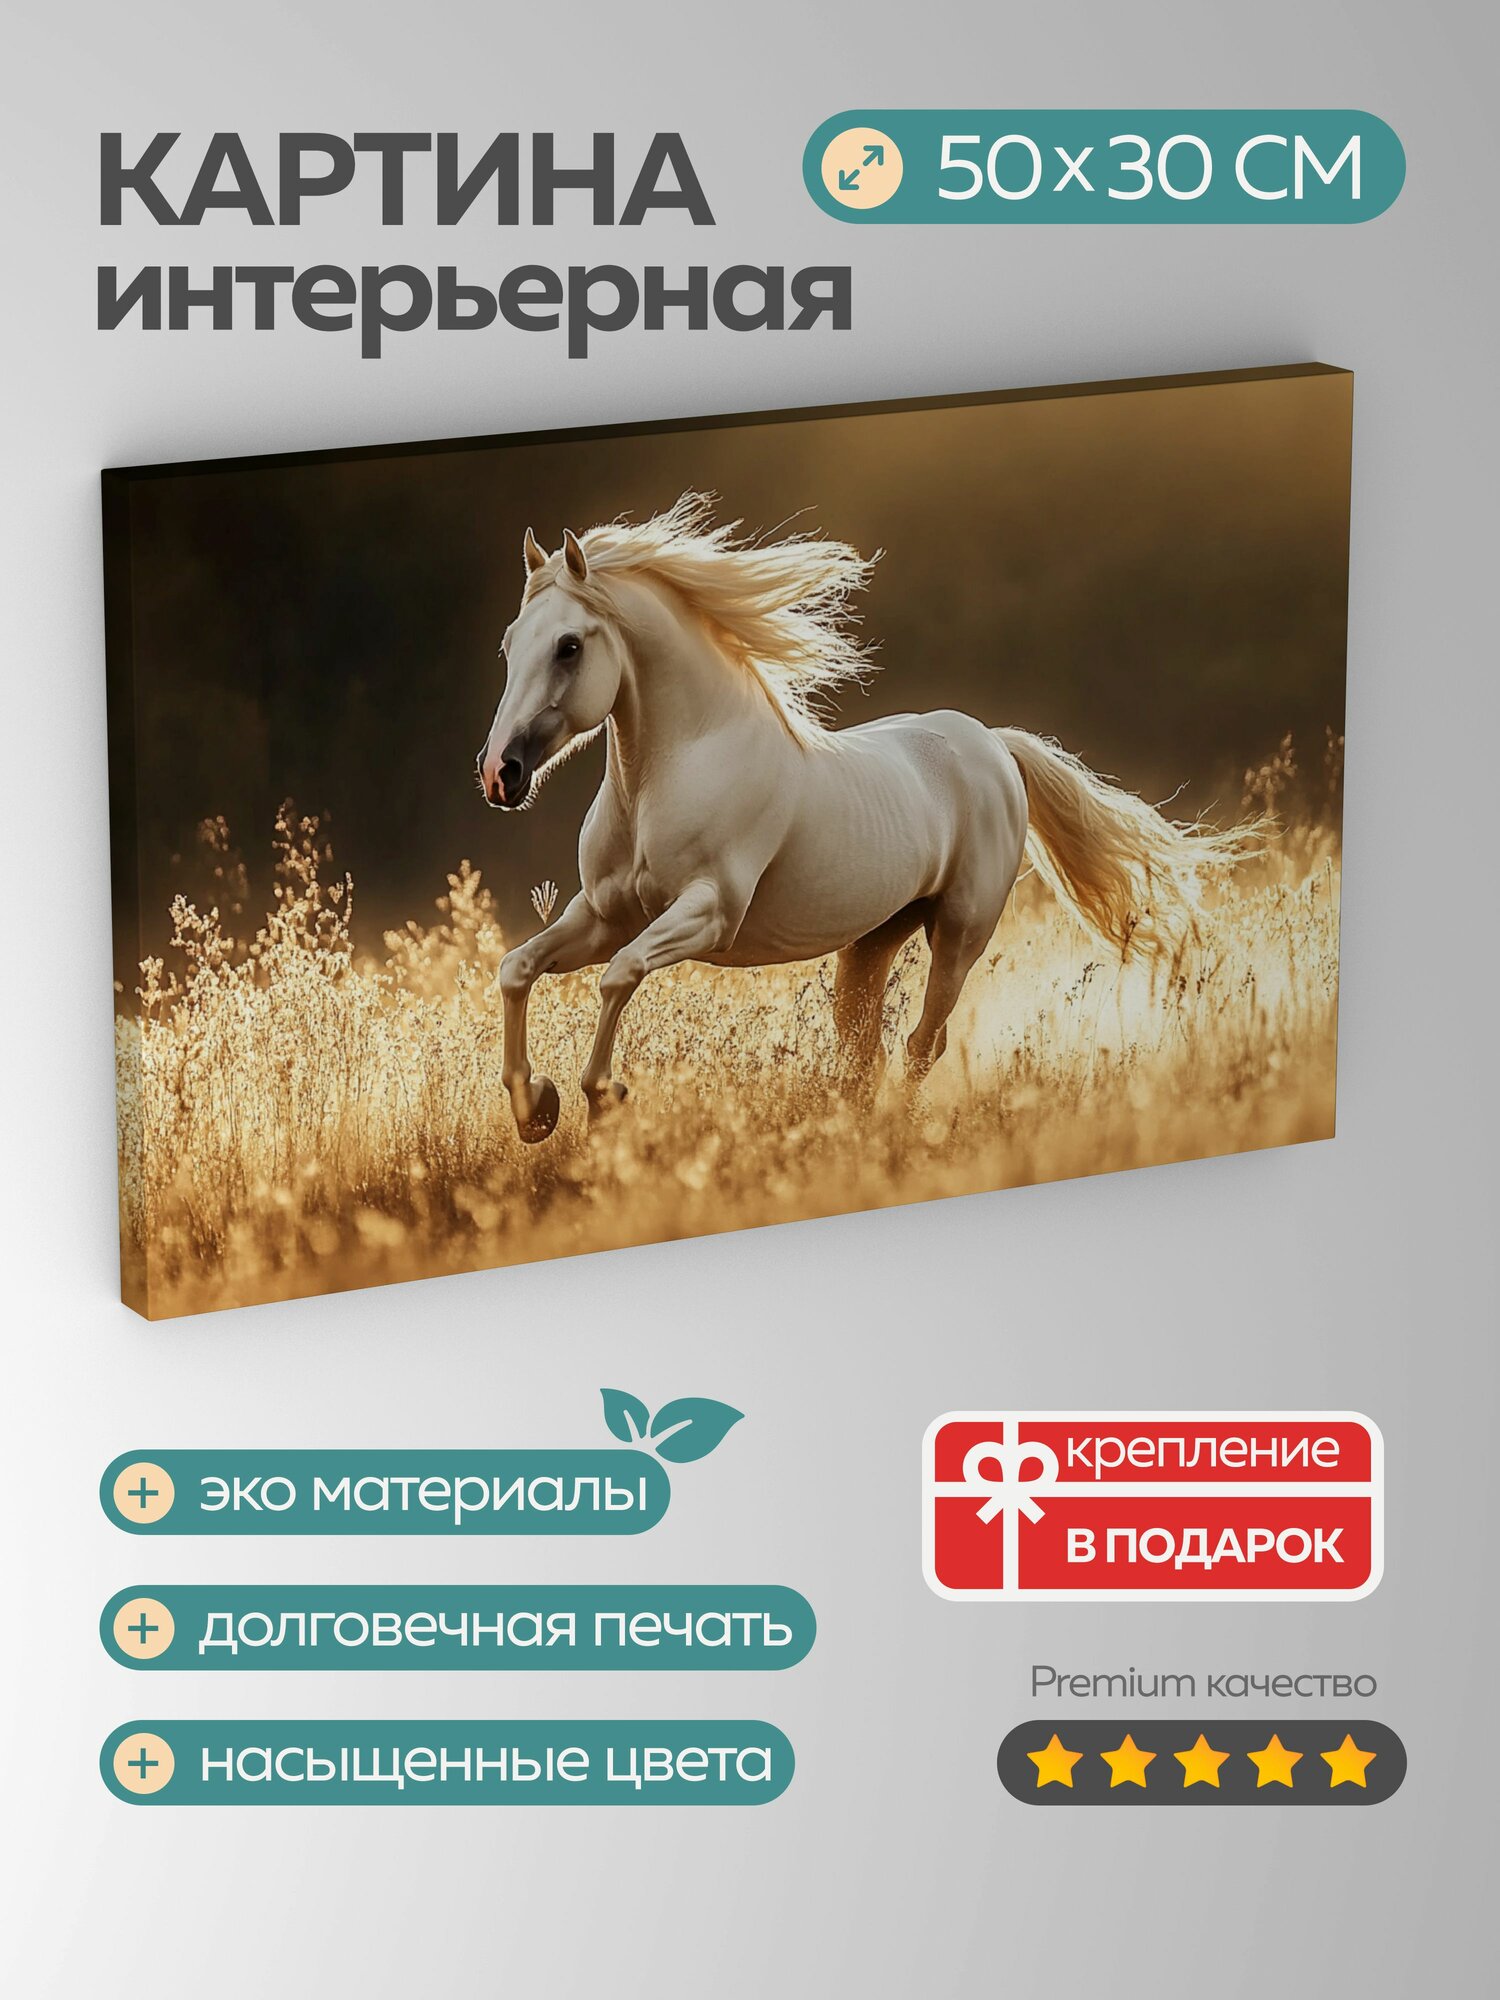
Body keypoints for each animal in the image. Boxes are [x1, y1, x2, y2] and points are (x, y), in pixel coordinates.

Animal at [477, 494, 1245, 1143]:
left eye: (570, 645)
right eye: (508, 643)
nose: (499, 774)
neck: (670, 775)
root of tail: (995, 744)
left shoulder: (707, 913)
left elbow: (618, 976)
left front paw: (601, 1099)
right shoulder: (604, 915)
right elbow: (518, 968)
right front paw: (534, 1108)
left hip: (960, 932)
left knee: (921, 1044)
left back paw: (896, 1134)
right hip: (872, 941)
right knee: (864, 1054)